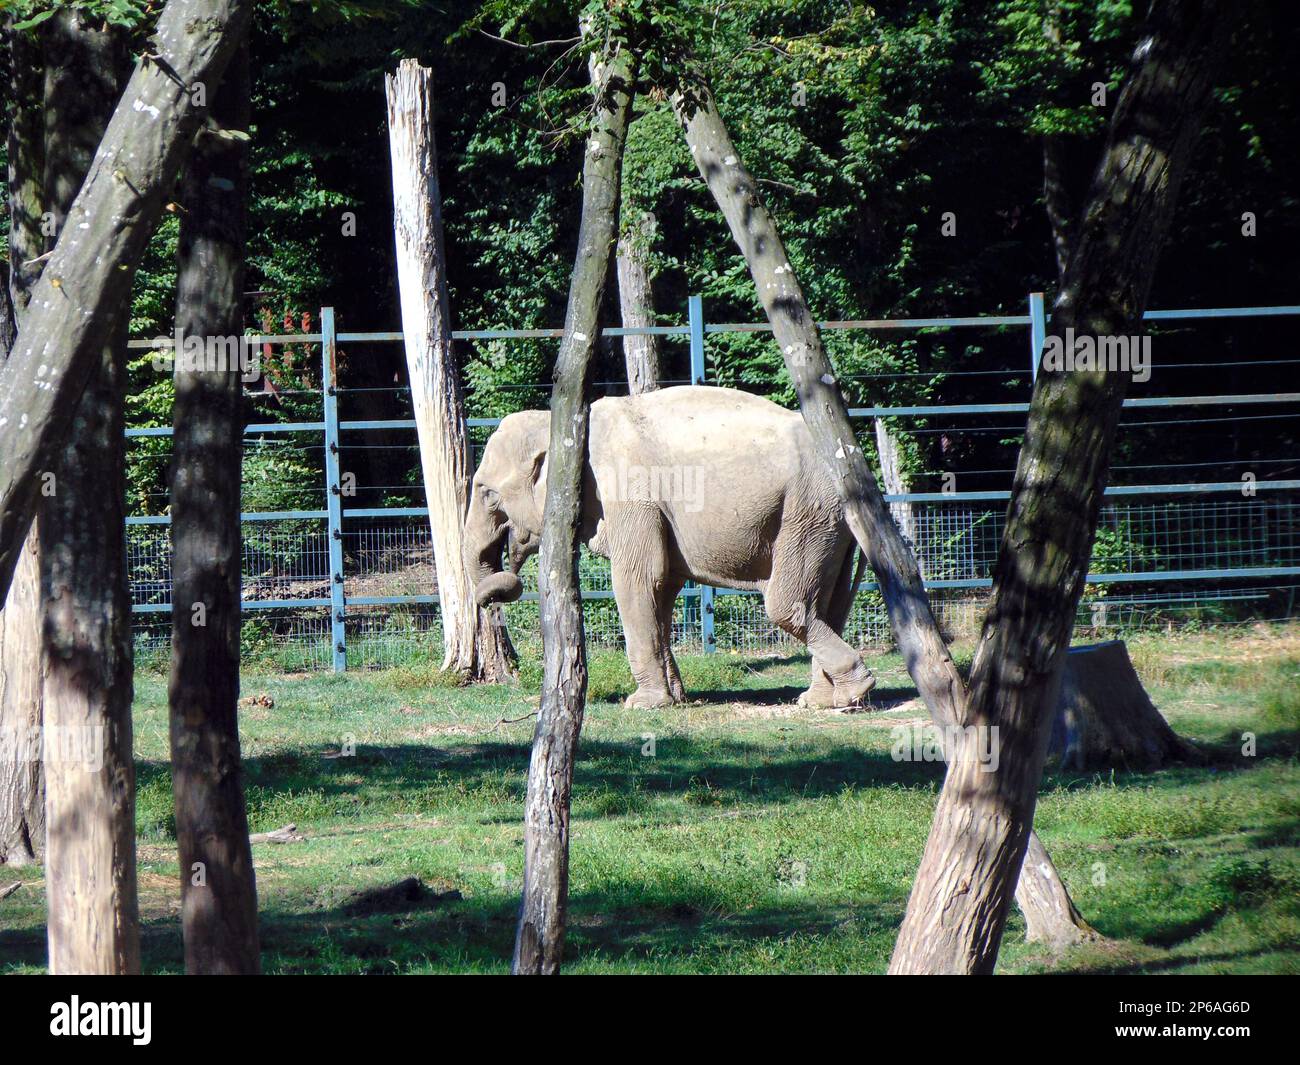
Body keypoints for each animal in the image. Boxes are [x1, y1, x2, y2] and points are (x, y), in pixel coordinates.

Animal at [464, 385, 876, 709]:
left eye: (487, 493)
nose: (506, 576)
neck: (562, 422)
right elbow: (661, 590)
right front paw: (675, 699)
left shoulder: (630, 495)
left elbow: (639, 581)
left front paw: (642, 705)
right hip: (829, 524)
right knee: (829, 603)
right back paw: (826, 701)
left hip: (807, 511)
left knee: (787, 605)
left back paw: (855, 690)